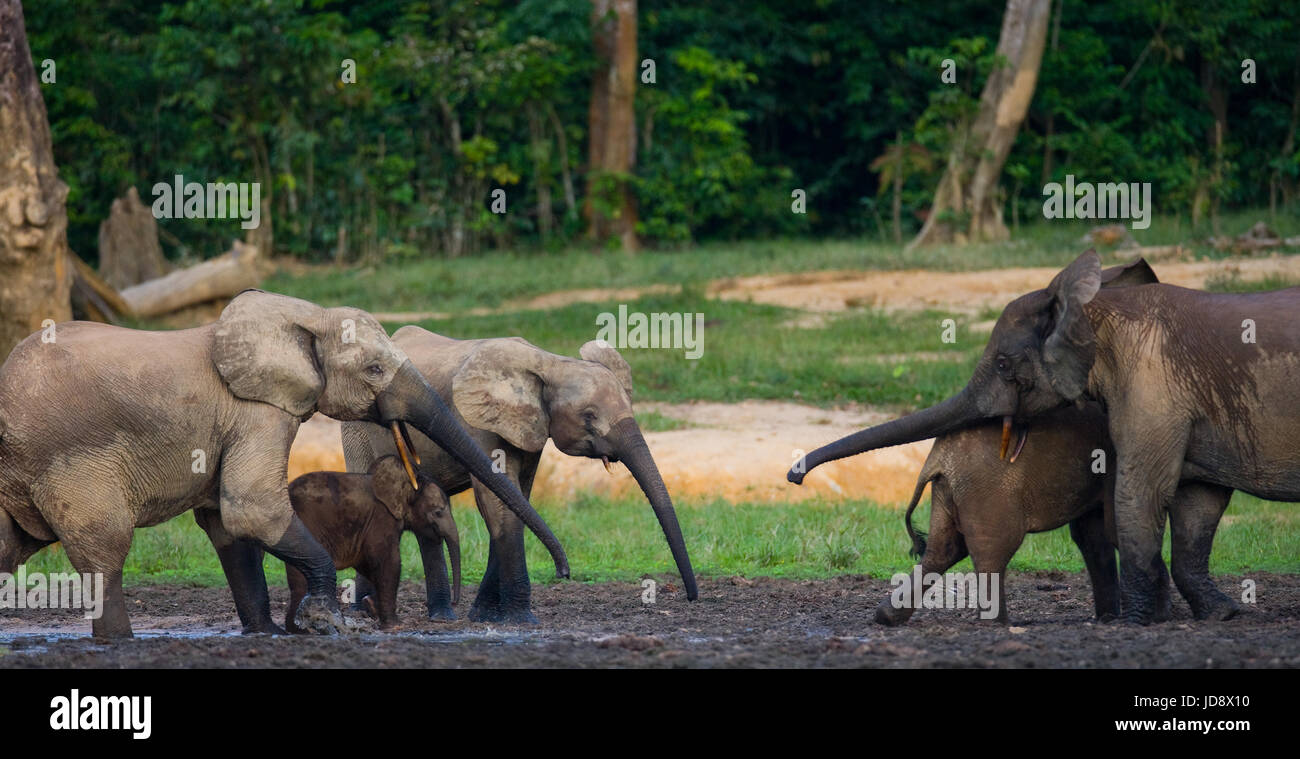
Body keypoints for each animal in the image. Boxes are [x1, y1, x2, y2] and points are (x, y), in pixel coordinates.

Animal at [285, 456, 459, 632]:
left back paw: (297, 629)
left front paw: (371, 605)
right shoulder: (381, 518)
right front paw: (395, 626)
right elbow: (389, 562)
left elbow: (367, 563)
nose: (454, 602)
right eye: (438, 512)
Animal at [342, 327, 697, 623]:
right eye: (589, 416)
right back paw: (364, 610)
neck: (550, 363)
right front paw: (521, 620)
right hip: (356, 428)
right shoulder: (476, 421)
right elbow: (499, 500)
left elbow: (517, 497)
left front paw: (484, 616)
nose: (692, 598)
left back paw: (441, 617)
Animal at [791, 251, 1269, 625]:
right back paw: (999, 625)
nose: (794, 477)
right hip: (985, 492)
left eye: (1003, 366)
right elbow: (1110, 525)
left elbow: (1094, 535)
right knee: (990, 551)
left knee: (944, 549)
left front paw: (1111, 619)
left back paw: (887, 619)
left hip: (954, 491)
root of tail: (934, 463)